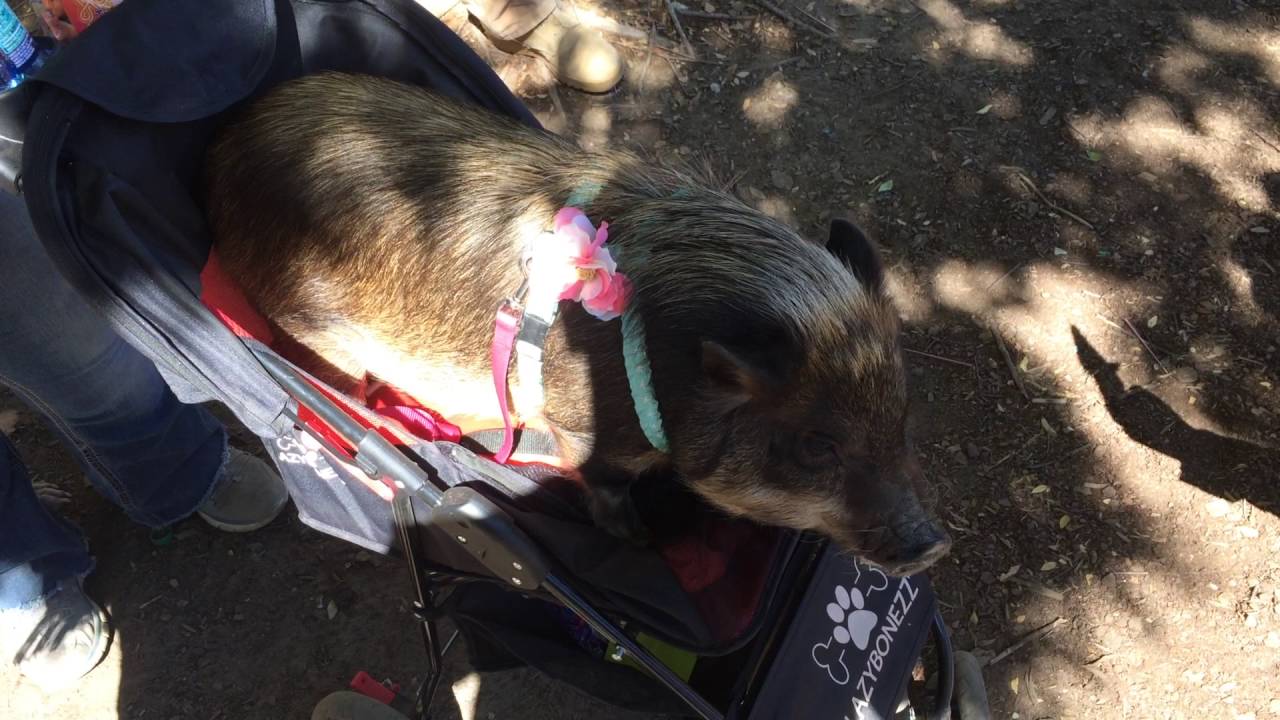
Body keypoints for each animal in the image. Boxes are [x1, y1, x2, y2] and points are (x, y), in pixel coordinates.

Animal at [202, 71, 950, 577]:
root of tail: (223, 146)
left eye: (905, 413)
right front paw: (639, 540)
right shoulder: (586, 428)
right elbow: (602, 481)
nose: (933, 543)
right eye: (818, 444)